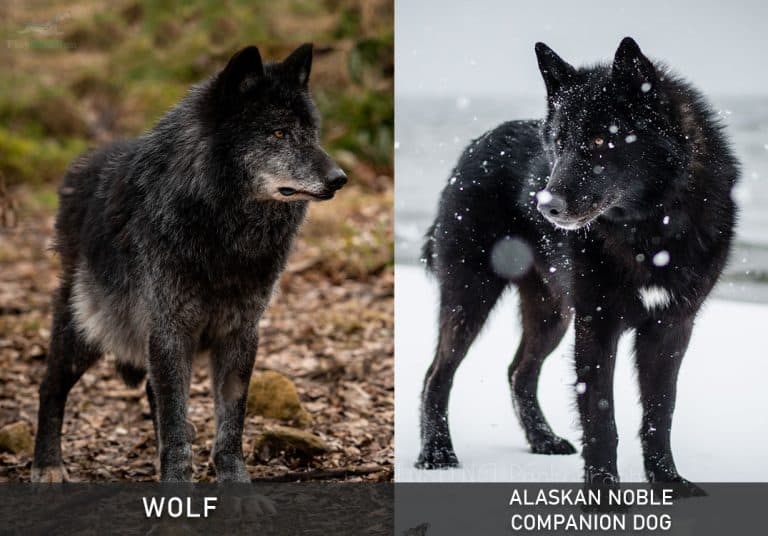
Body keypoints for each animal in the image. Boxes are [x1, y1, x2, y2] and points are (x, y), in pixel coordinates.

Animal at [32, 43, 347, 482]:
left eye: (312, 132)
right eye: (279, 133)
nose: (340, 178)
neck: (222, 232)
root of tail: (80, 169)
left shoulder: (240, 332)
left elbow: (230, 420)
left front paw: (233, 480)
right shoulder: (170, 331)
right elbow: (176, 419)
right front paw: (177, 482)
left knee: (152, 392)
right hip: (86, 326)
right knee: (50, 385)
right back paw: (47, 464)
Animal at [417, 37, 738, 495]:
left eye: (603, 140)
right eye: (559, 142)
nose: (545, 205)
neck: (648, 231)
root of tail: (475, 145)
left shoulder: (670, 329)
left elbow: (660, 413)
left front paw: (668, 482)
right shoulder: (596, 326)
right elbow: (601, 418)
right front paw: (604, 495)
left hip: (552, 315)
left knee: (518, 371)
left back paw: (542, 439)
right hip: (470, 298)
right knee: (437, 373)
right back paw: (437, 453)